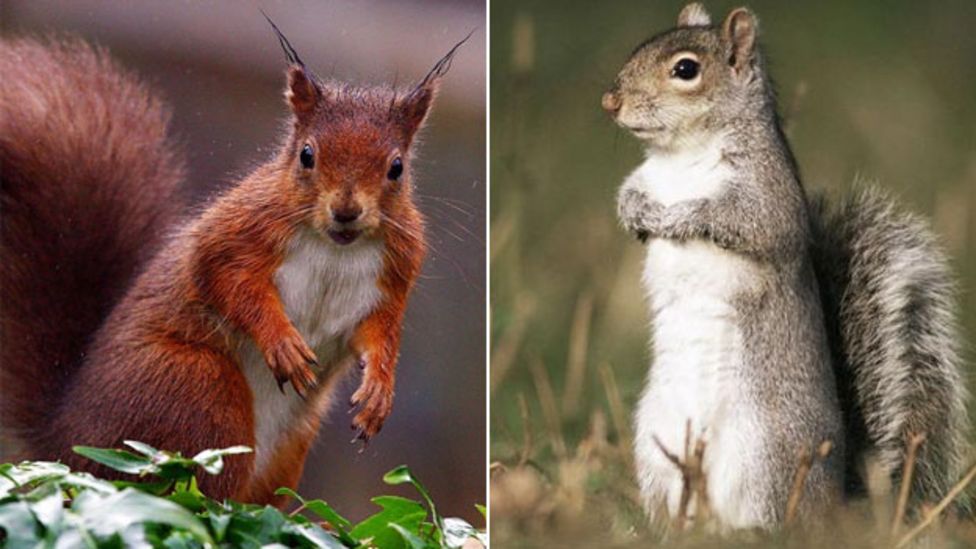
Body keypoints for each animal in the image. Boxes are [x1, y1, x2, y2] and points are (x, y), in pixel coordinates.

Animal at [0, 20, 466, 506]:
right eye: (306, 155)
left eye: (397, 168)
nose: (346, 211)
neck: (335, 247)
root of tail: (63, 440)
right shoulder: (235, 235)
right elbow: (229, 282)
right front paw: (282, 344)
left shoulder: (395, 274)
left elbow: (381, 334)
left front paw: (378, 391)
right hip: (200, 394)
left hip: (286, 450)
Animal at [603, 3, 968, 531]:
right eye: (639, 47)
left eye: (686, 69)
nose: (610, 101)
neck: (680, 158)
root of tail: (836, 506)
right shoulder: (645, 177)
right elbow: (629, 193)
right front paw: (636, 214)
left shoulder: (768, 198)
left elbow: (746, 223)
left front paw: (680, 217)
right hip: (656, 446)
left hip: (765, 457)